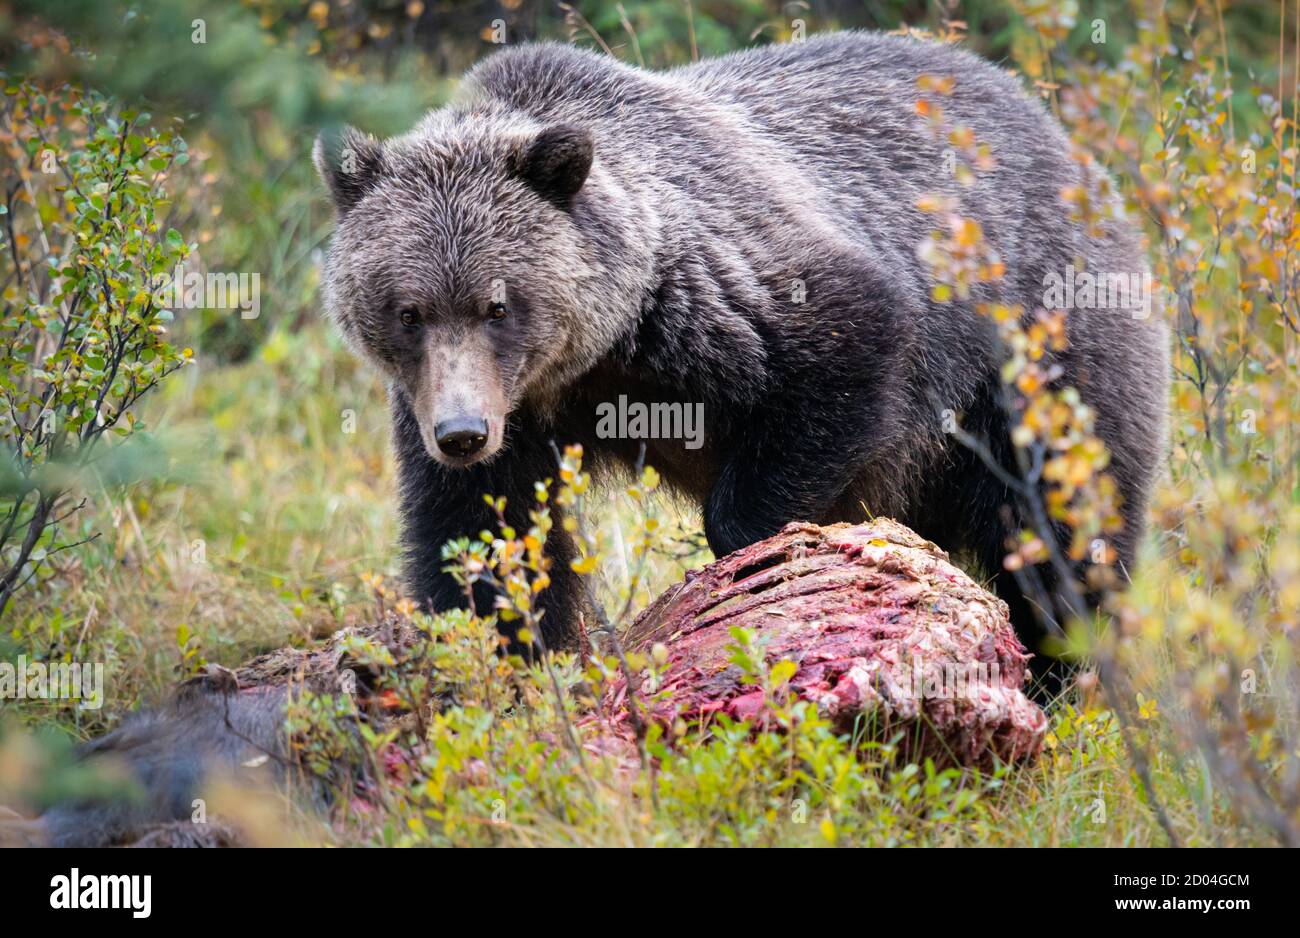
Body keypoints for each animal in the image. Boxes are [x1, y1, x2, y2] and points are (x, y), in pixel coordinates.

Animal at [313, 31, 1169, 669]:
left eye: (498, 304)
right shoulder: (486, 409)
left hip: (1044, 345)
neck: (587, 363)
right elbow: (483, 536)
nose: (462, 433)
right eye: (408, 311)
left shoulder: (727, 298)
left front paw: (752, 565)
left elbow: (841, 349)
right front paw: (503, 655)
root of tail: (1067, 143)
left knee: (1058, 531)